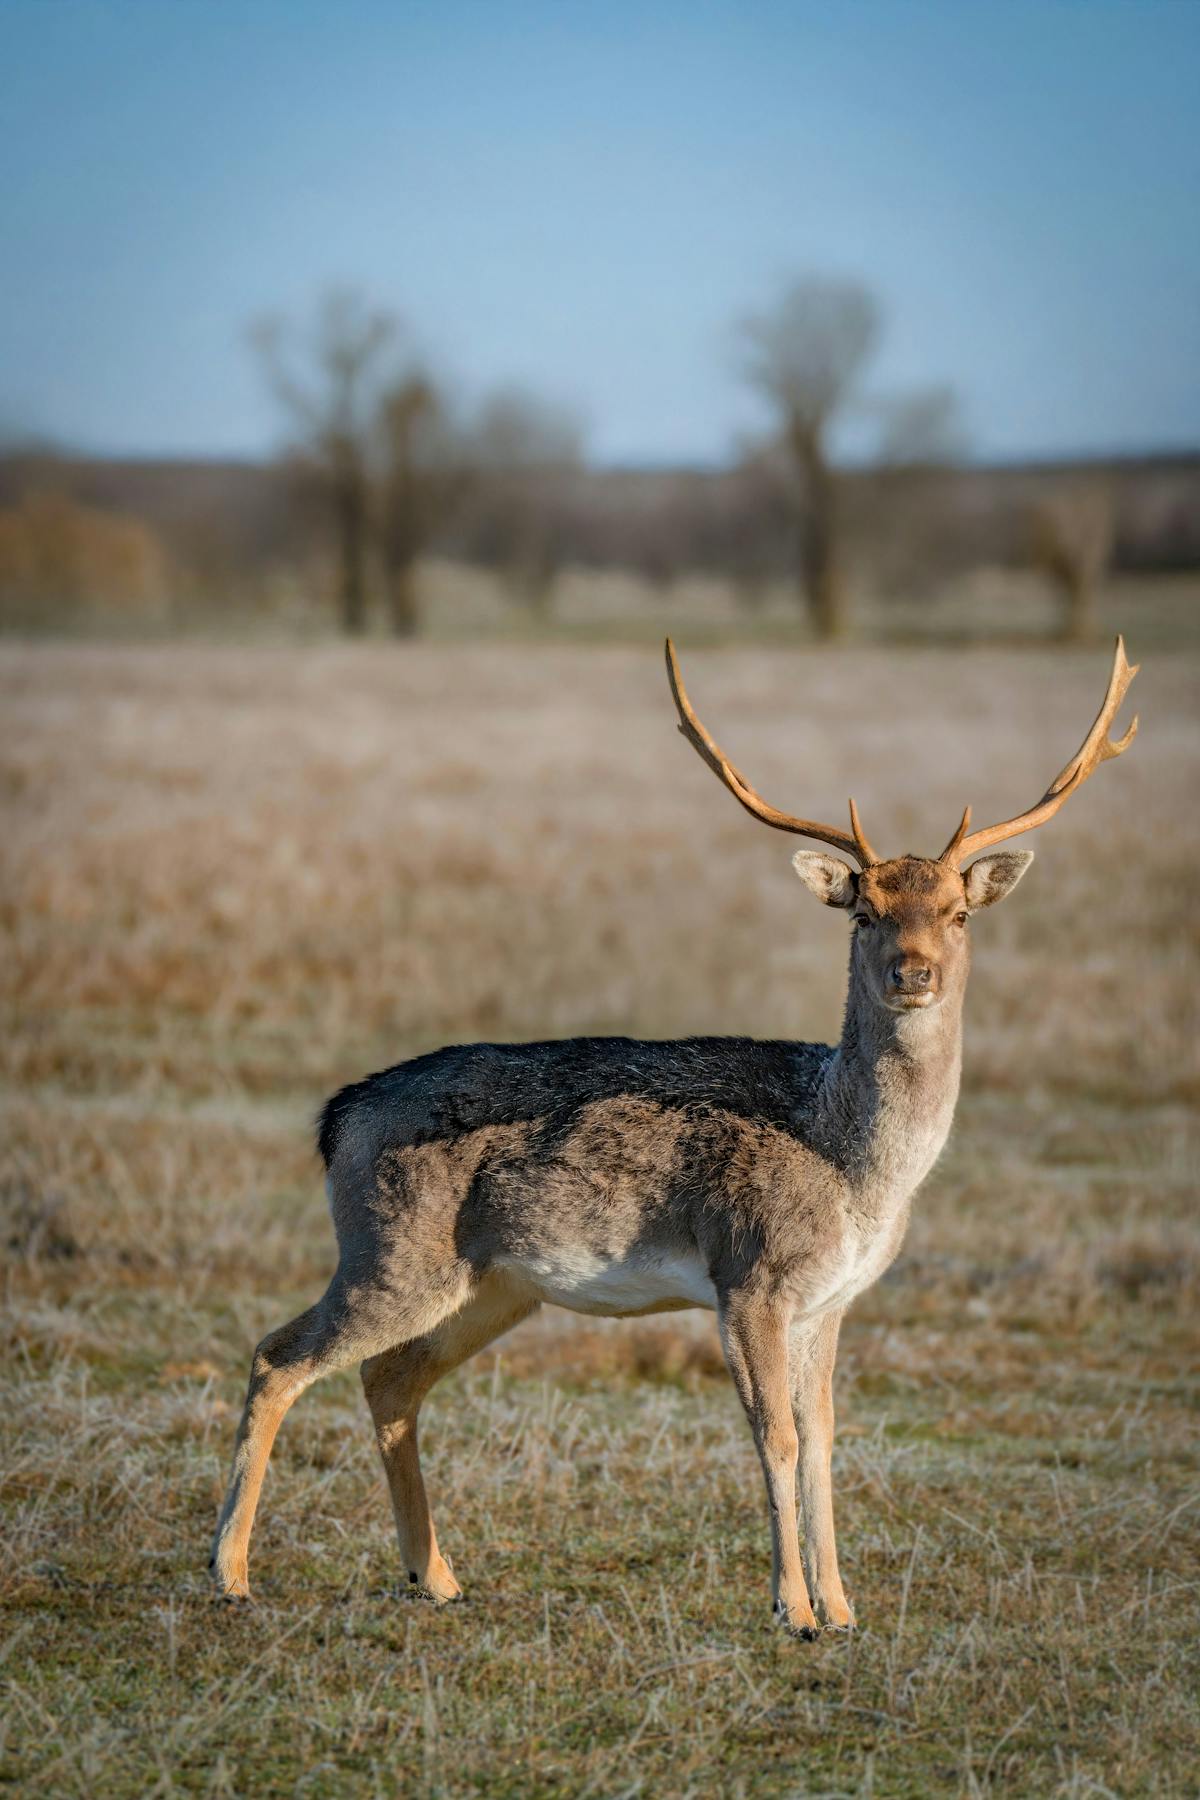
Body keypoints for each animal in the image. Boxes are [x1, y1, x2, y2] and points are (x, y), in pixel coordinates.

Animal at [211, 637, 1138, 1637]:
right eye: (865, 911)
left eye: (959, 913)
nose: (913, 972)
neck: (852, 1165)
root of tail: (337, 1114)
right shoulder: (750, 1276)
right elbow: (775, 1437)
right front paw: (792, 1608)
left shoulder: (832, 1301)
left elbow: (824, 1441)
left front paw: (845, 1608)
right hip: (393, 1254)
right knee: (277, 1357)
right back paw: (230, 1573)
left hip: (491, 1285)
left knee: (388, 1381)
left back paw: (437, 1576)